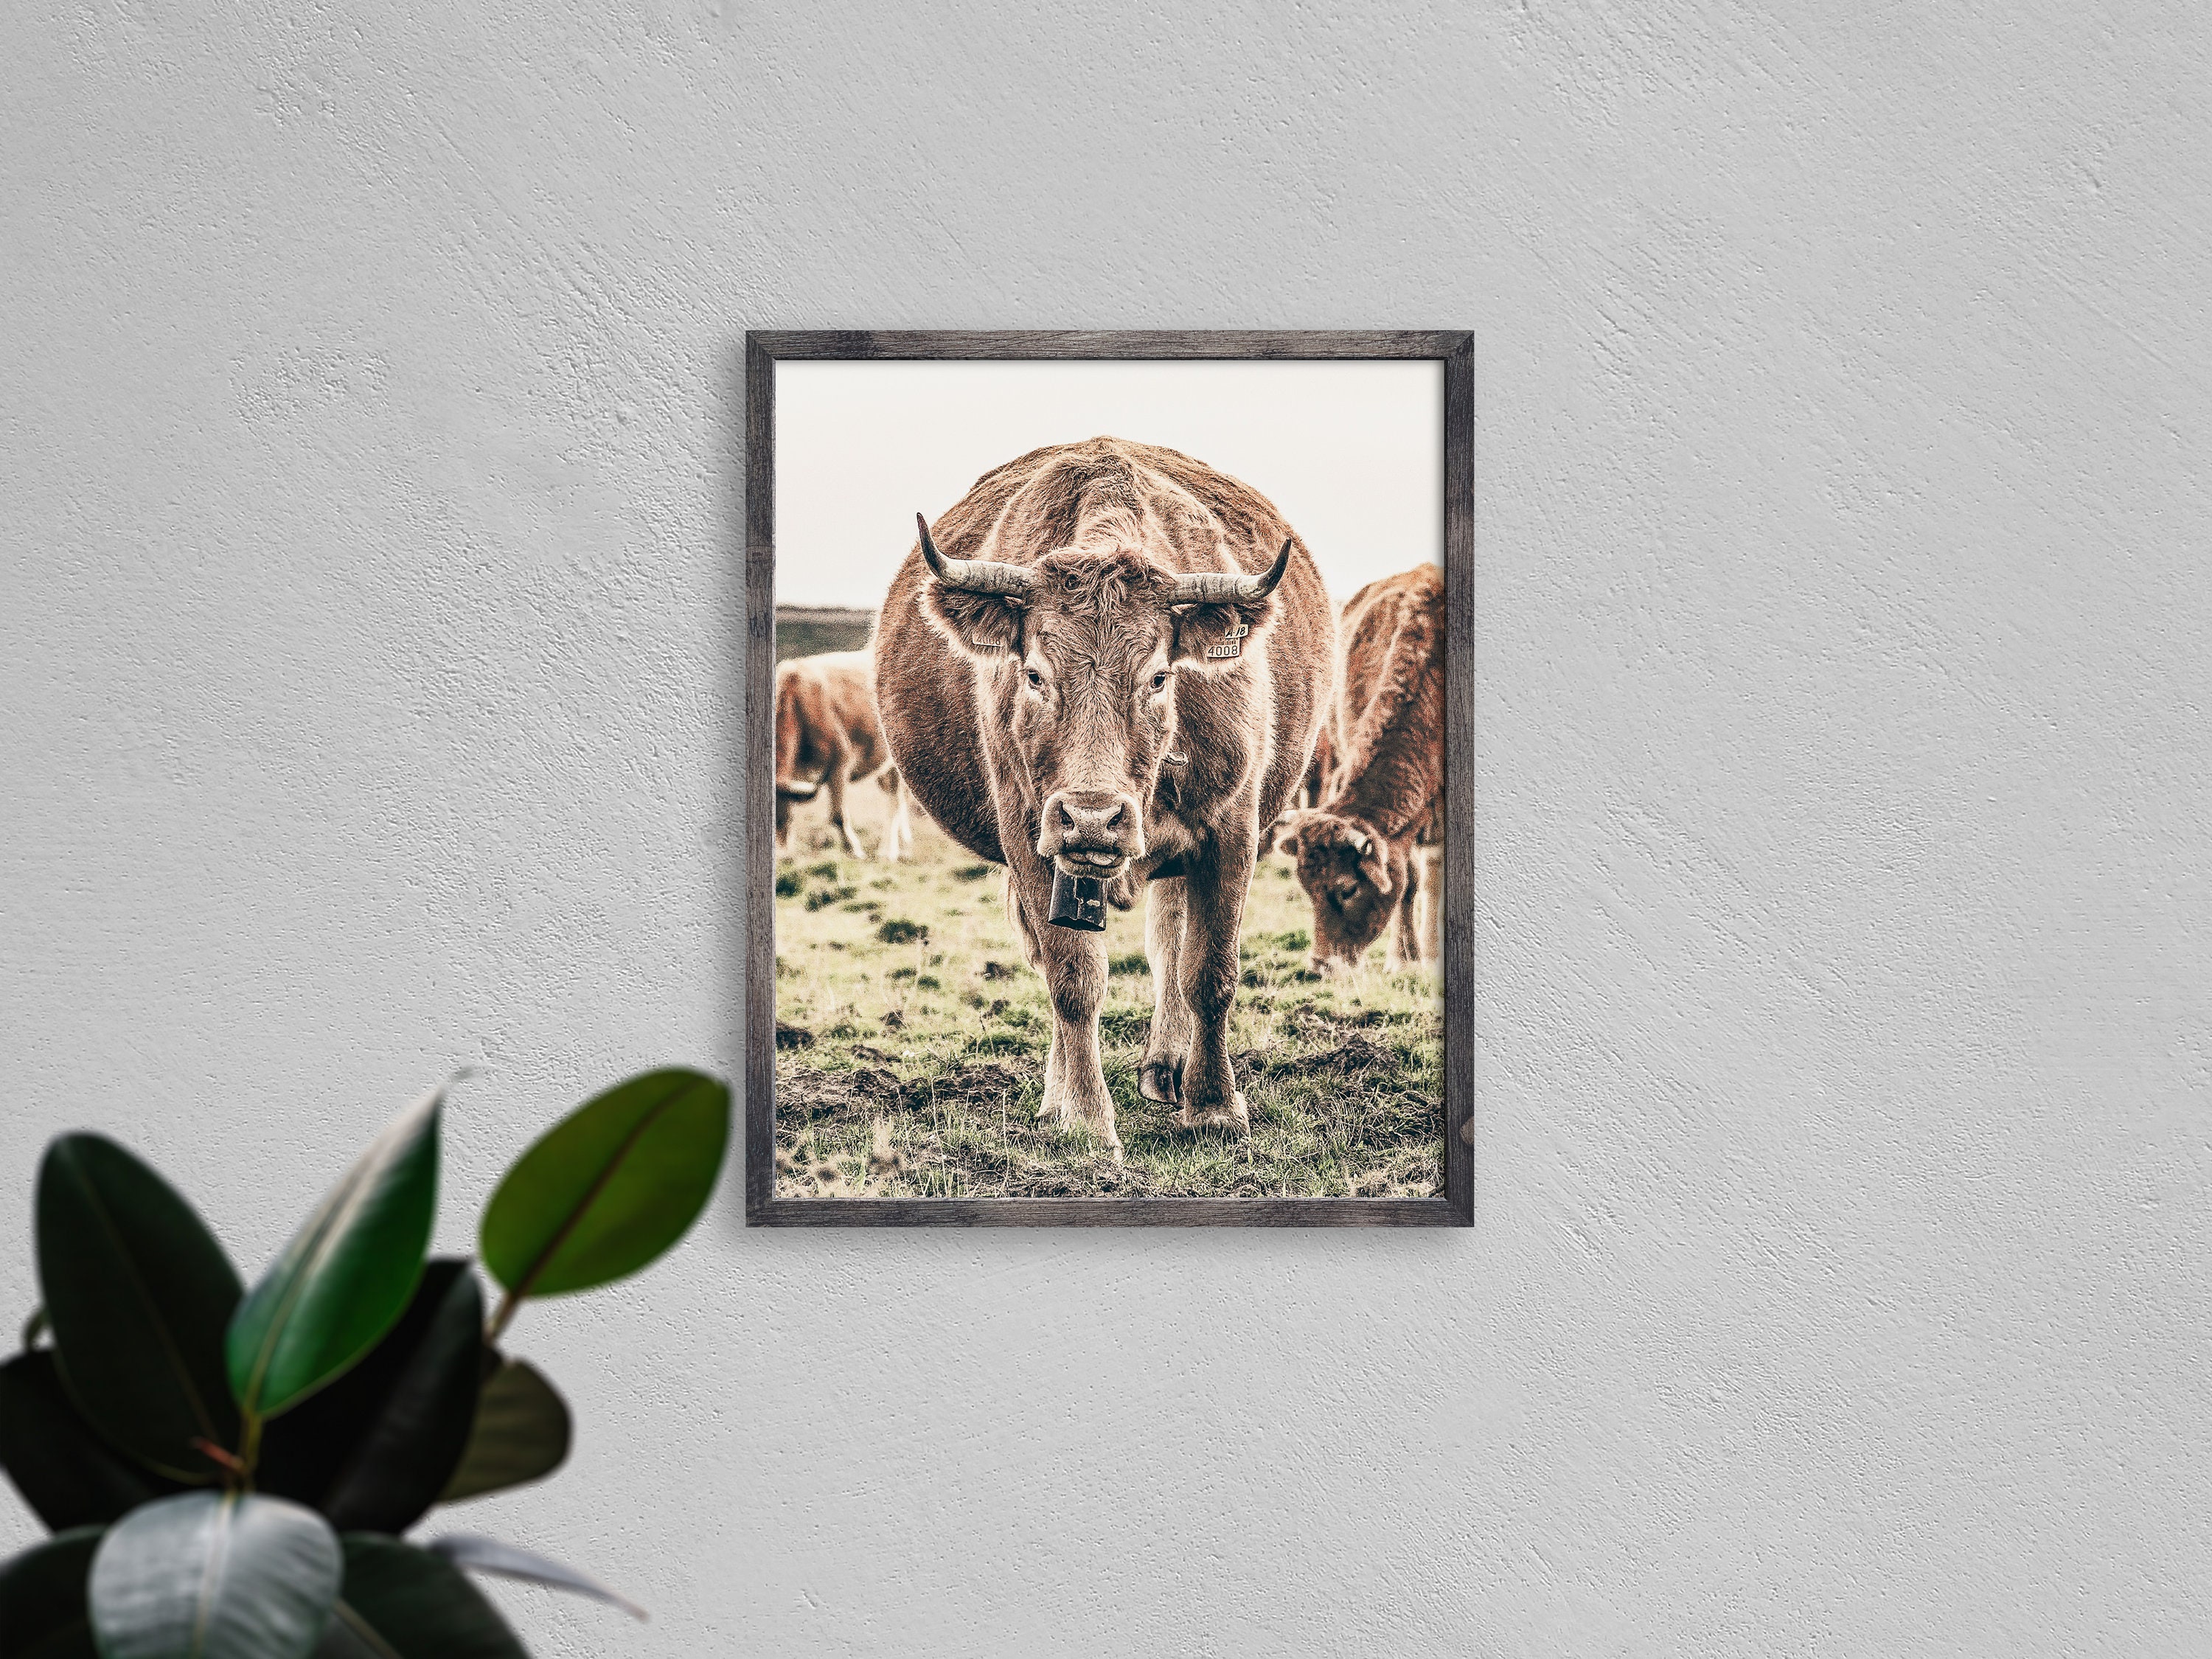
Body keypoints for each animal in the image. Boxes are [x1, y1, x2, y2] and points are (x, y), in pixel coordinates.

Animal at [774, 649, 914, 861]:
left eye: (781, 819)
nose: (782, 857)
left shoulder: (840, 763)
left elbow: (838, 816)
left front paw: (854, 850)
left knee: (895, 801)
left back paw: (888, 851)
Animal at [873, 438, 1334, 1158]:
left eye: (1159, 676)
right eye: (1035, 674)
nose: (1093, 817)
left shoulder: (1231, 833)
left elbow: (1210, 972)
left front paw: (1214, 1106)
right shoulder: (1033, 838)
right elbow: (1073, 981)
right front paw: (1087, 1119)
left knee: (1170, 946)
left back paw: (1168, 1068)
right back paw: (1059, 1096)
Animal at [1272, 563, 1444, 974]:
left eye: (1348, 888)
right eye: (1308, 888)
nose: (1322, 964)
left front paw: (1429, 957)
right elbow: (1409, 881)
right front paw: (1402, 958)